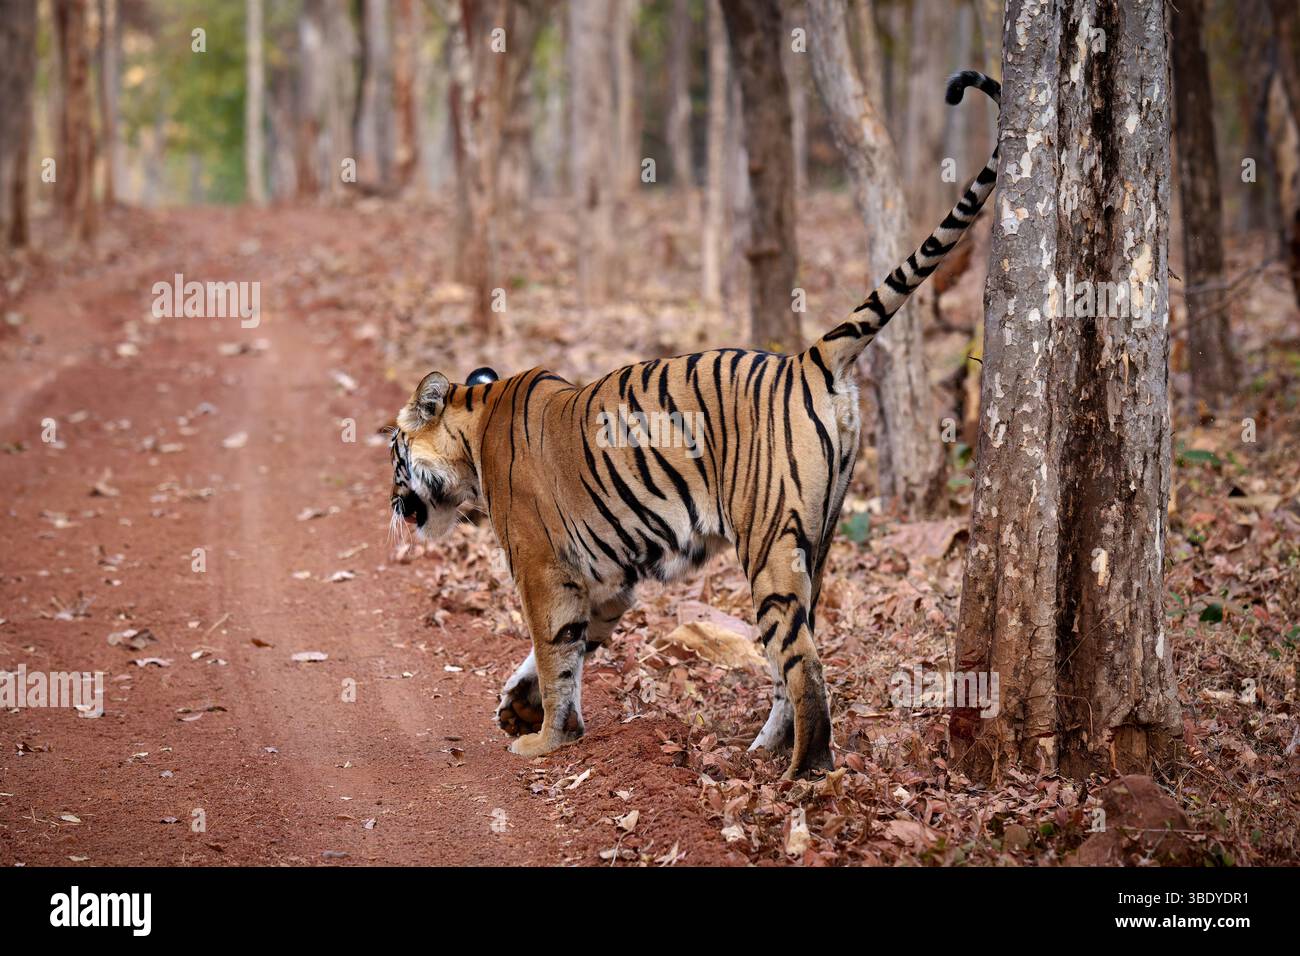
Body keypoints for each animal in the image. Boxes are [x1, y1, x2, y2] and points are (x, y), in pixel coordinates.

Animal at [388, 71, 1001, 779]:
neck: (474, 427)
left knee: (804, 666)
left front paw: (545, 739)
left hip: (768, 544)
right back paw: (765, 750)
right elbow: (567, 650)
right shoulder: (608, 581)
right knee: (796, 655)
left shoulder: (544, 568)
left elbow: (553, 650)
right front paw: (523, 709)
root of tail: (808, 358)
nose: (392, 504)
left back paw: (802, 772)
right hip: (816, 541)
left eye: (394, 452)